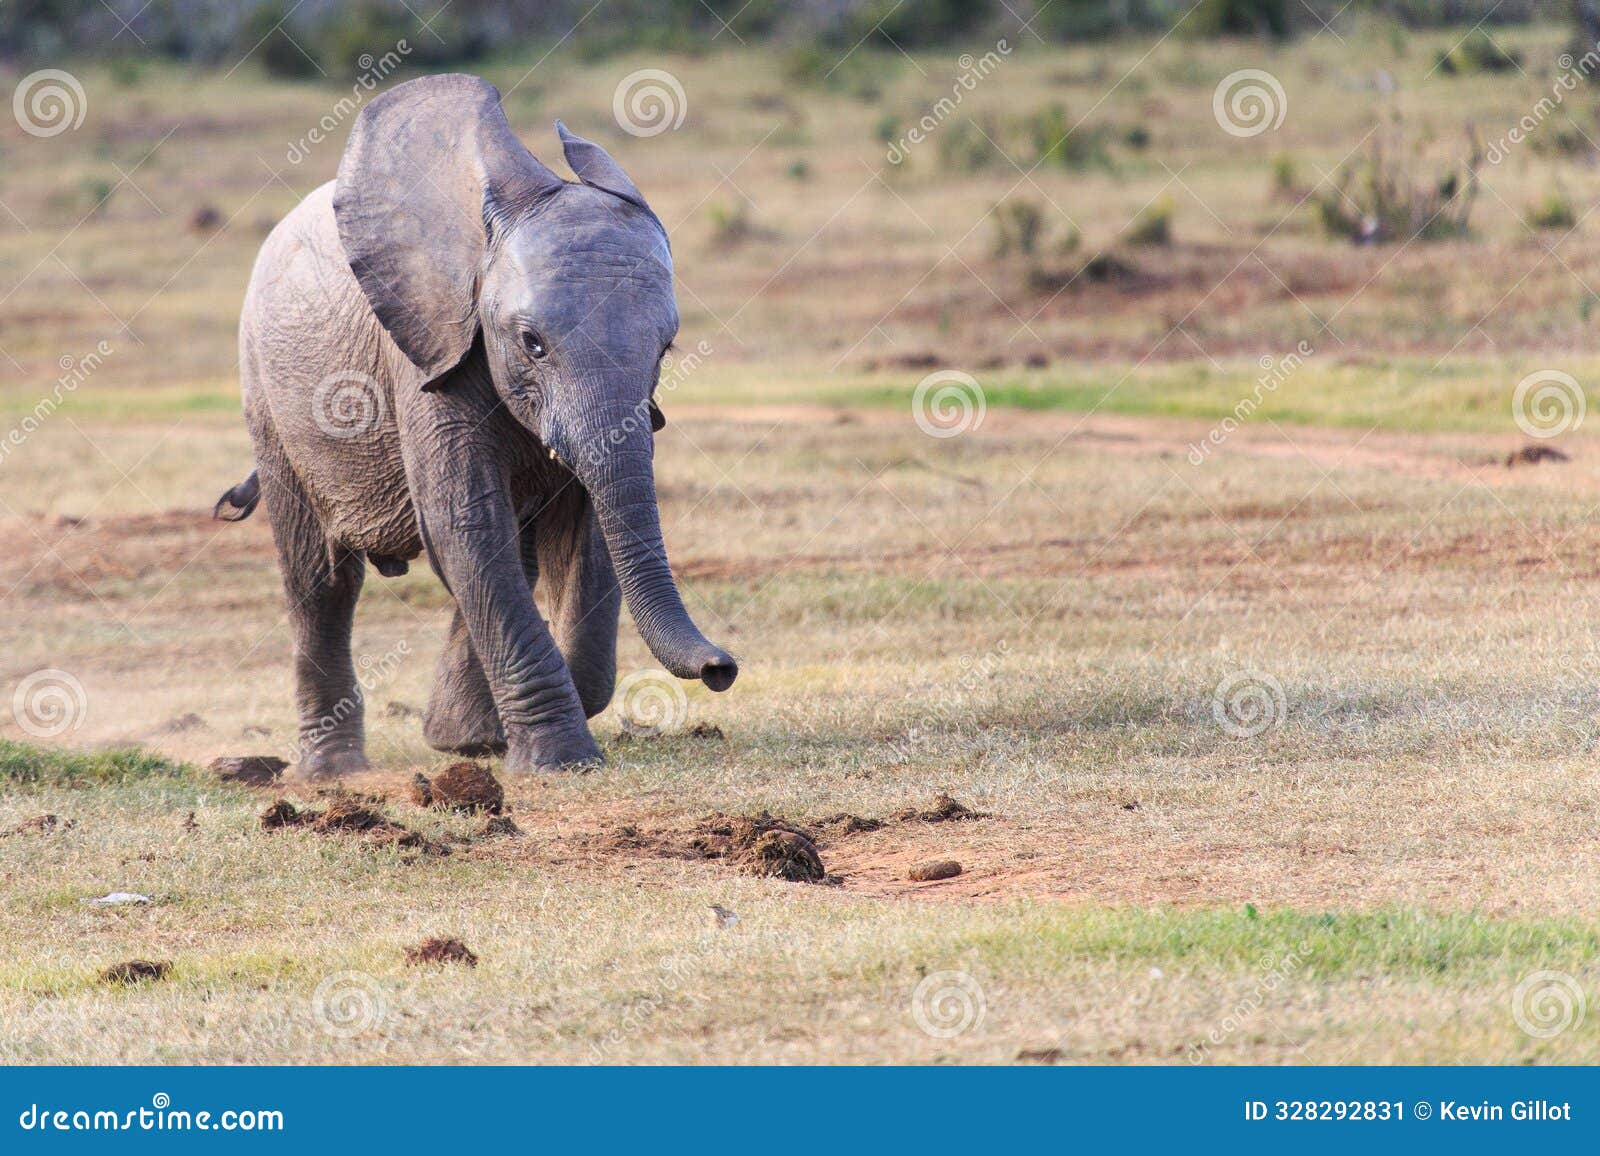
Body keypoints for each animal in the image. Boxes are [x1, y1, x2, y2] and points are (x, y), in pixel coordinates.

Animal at [213, 73, 737, 778]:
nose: (721, 668)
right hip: (267, 393)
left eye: (665, 351)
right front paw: (558, 762)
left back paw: (465, 736)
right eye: (531, 343)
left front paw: (482, 738)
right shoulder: (423, 347)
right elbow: (465, 522)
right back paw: (335, 772)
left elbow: (582, 529)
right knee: (320, 579)